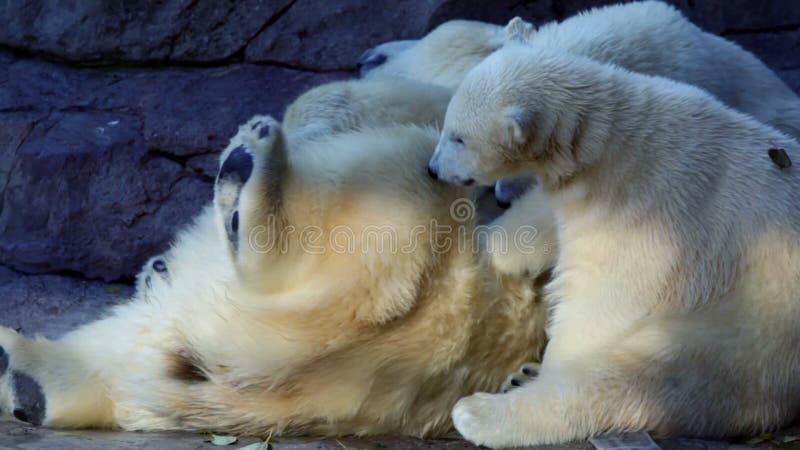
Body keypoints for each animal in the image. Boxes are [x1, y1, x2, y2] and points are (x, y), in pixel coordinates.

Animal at [428, 42, 800, 447]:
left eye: (458, 137)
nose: (433, 169)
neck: (615, 142)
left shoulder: (651, 212)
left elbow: (600, 299)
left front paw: (550, 359)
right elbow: (545, 211)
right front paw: (494, 244)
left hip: (753, 325)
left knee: (644, 378)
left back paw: (479, 412)